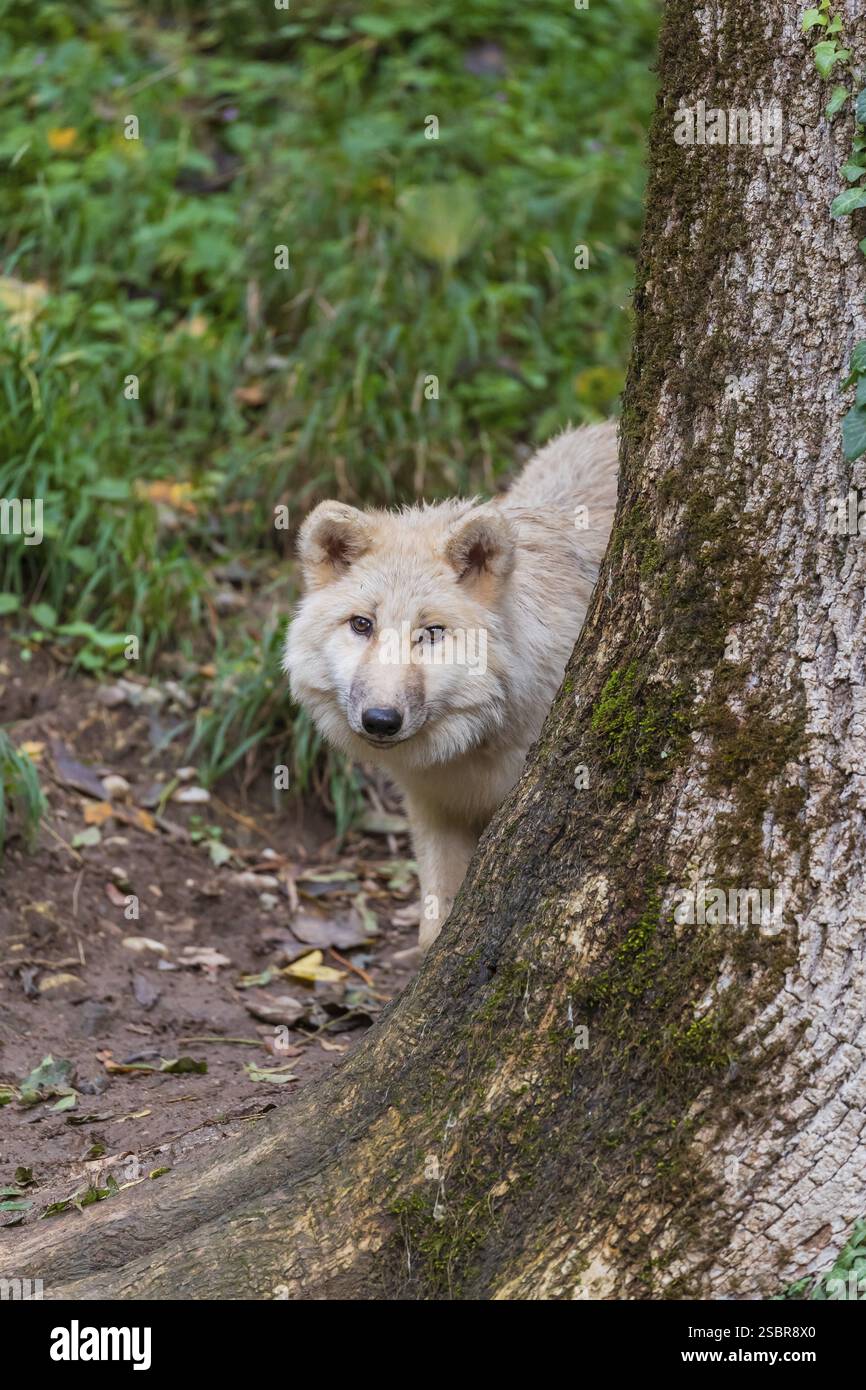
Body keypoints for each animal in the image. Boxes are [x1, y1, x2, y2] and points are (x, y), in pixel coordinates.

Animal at [284, 422, 618, 951]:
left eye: (431, 633)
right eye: (362, 625)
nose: (380, 721)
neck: (474, 753)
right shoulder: (433, 810)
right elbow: (432, 932)